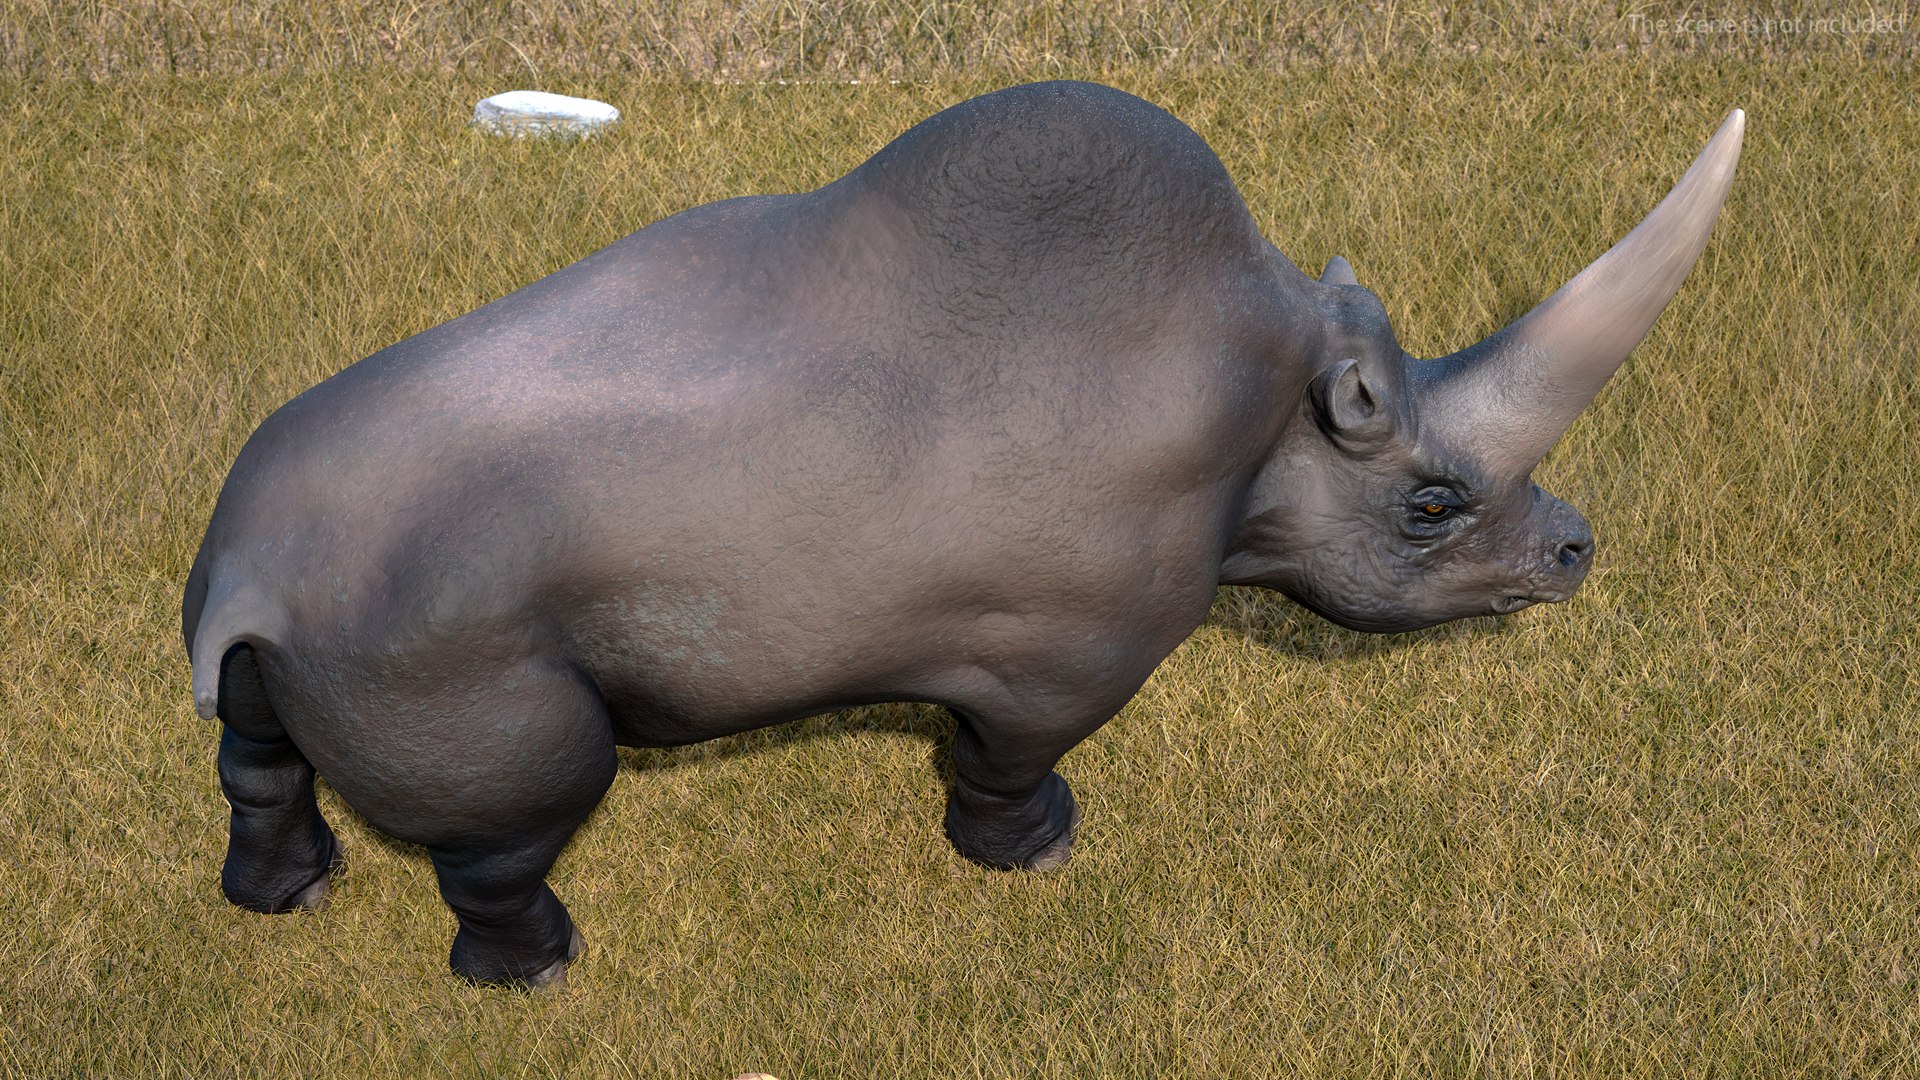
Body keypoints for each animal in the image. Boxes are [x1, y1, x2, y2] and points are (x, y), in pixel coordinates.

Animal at [183, 81, 1743, 985]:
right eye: (1431, 505)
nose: (1577, 550)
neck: (1269, 422)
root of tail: (247, 574)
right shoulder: (1064, 654)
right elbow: (1010, 761)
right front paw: (1036, 859)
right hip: (431, 633)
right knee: (525, 811)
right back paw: (546, 975)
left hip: (282, 581)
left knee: (253, 743)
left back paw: (283, 902)